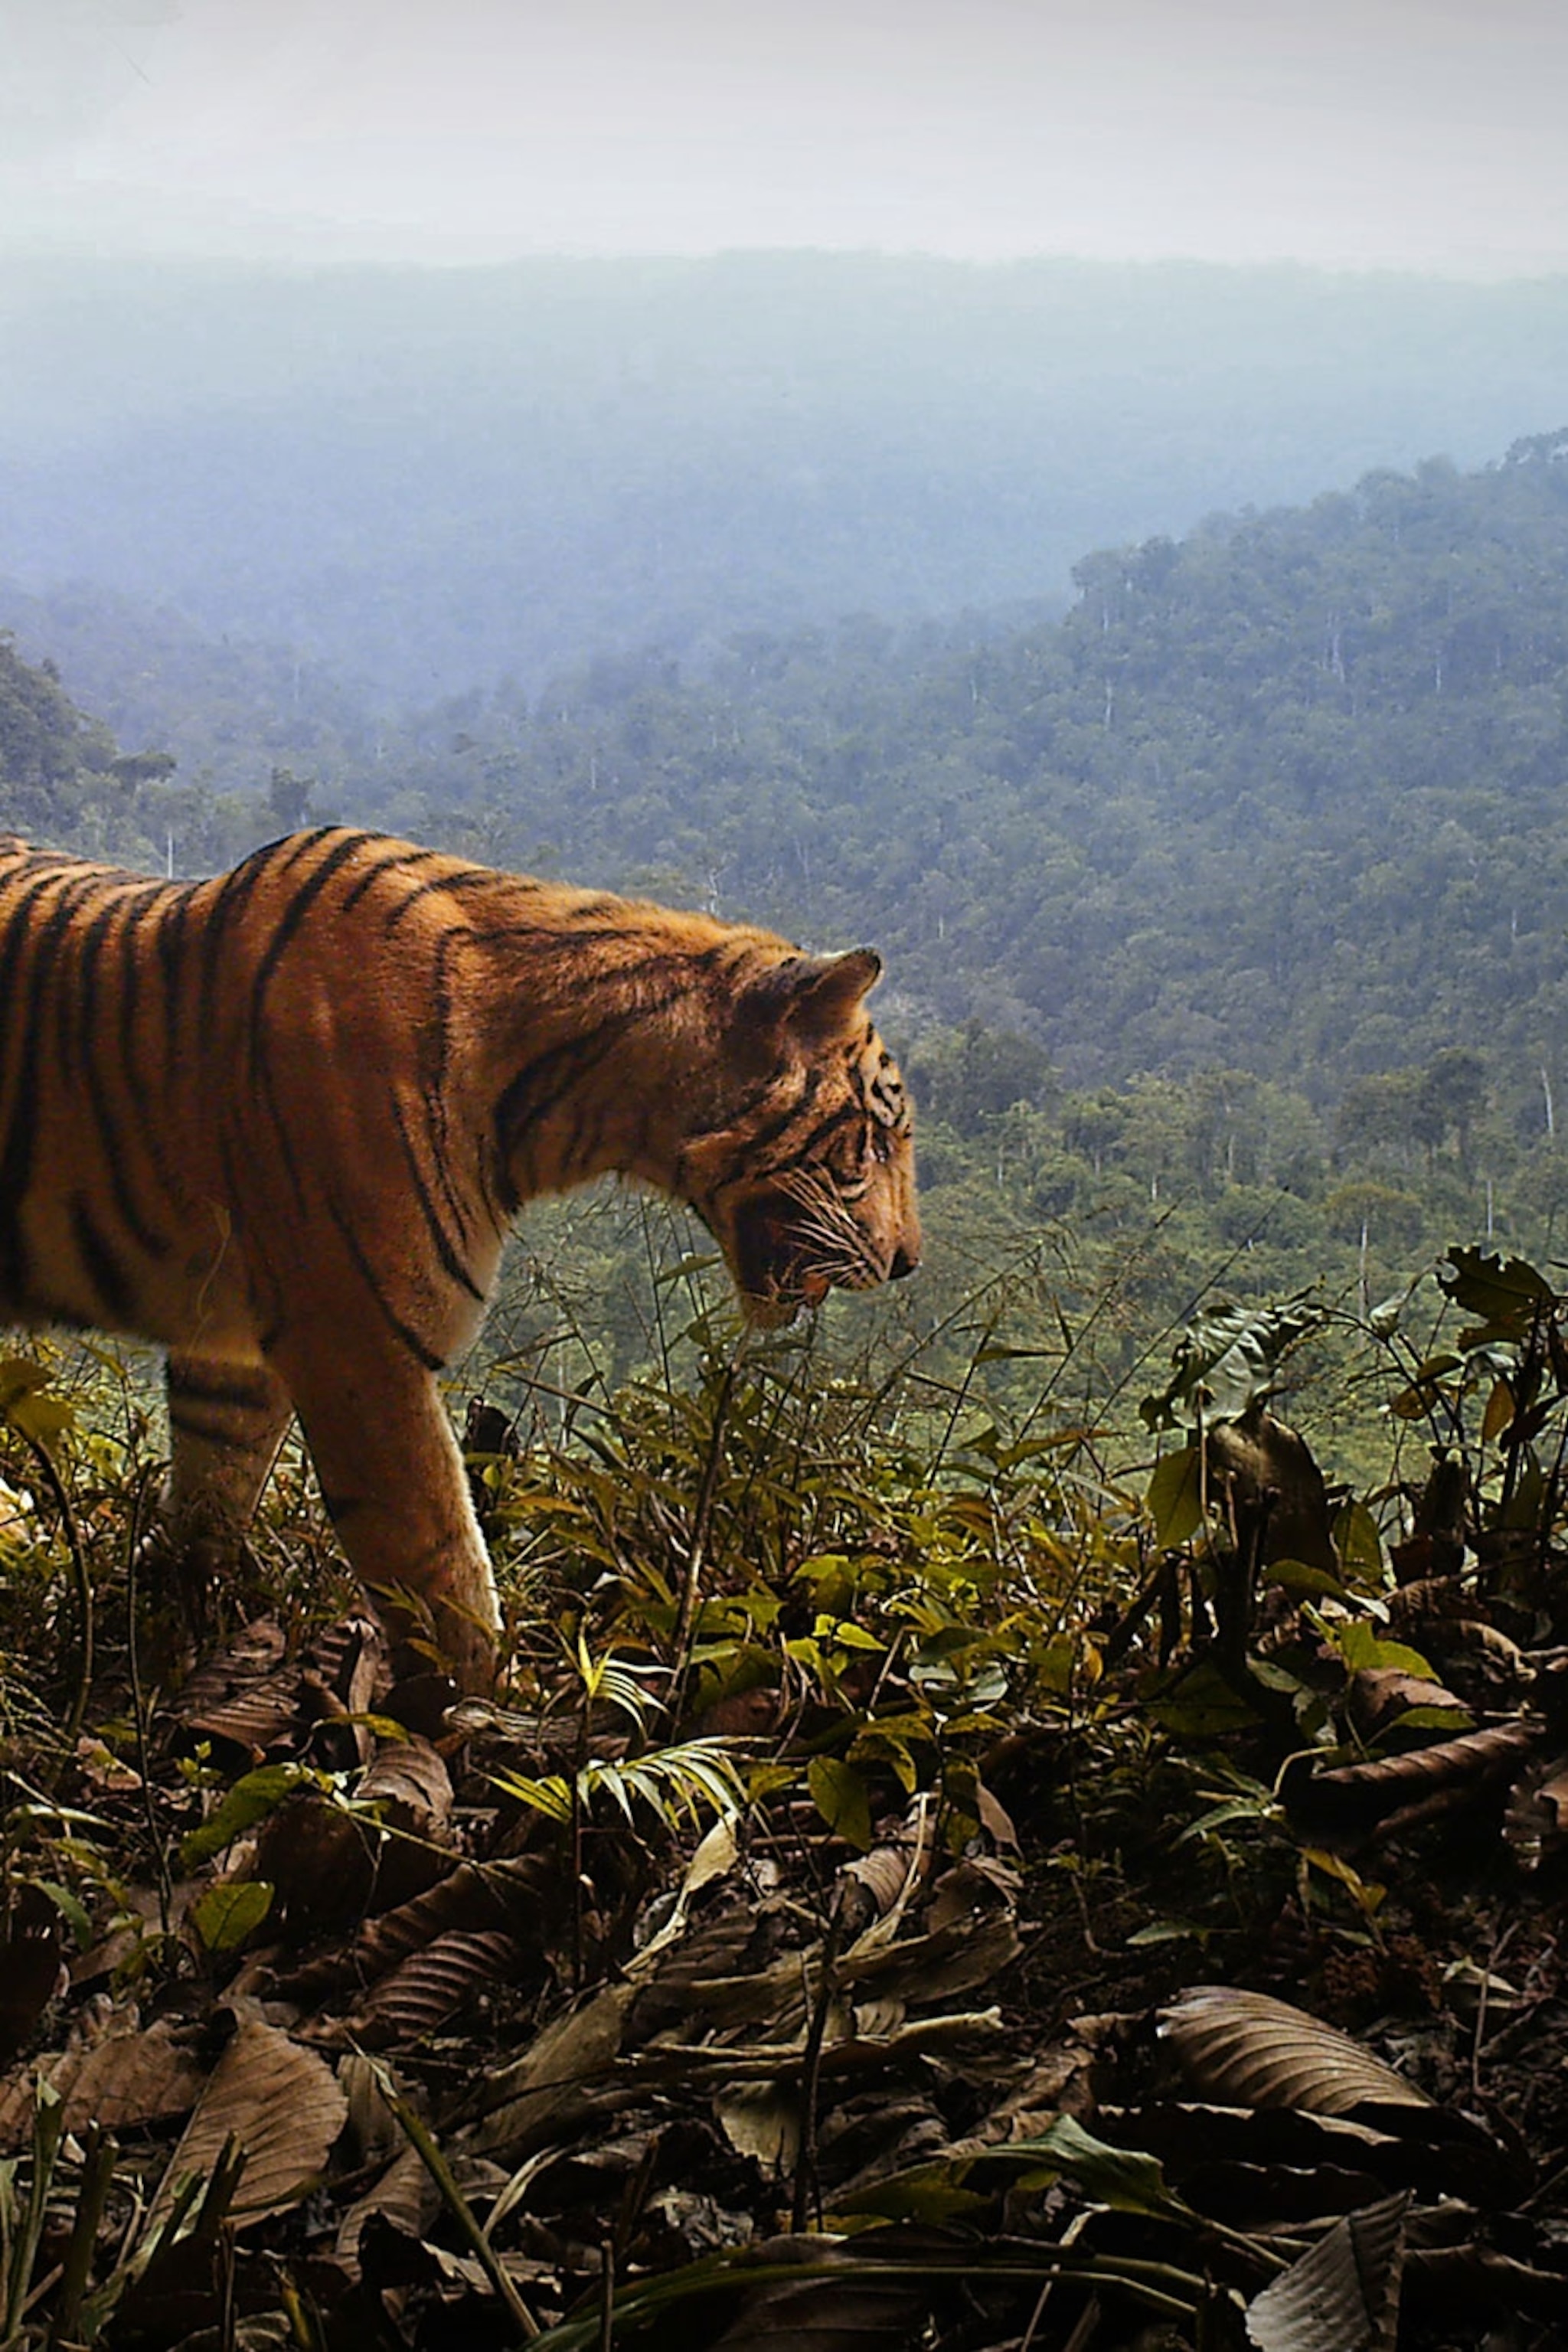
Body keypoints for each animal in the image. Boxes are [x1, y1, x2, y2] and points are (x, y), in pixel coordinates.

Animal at [0, 827, 919, 1691]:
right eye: (875, 1141)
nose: (909, 1261)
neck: (575, 1102)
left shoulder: (233, 1348)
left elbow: (213, 1492)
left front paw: (174, 1632)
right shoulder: (359, 1348)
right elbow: (439, 1554)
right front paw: (488, 1706)